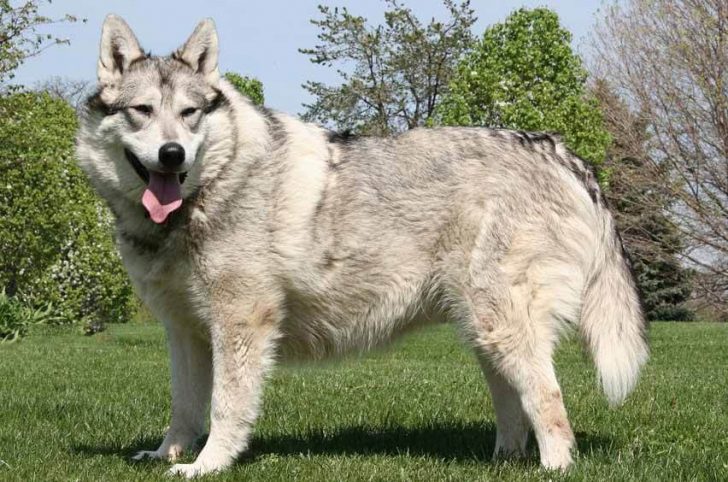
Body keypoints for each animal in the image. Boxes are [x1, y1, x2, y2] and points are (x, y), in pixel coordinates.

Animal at [76, 15, 649, 478]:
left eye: (190, 113)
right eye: (141, 111)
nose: (172, 154)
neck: (210, 191)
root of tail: (556, 150)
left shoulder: (240, 324)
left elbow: (224, 408)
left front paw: (207, 465)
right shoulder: (185, 333)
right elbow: (184, 407)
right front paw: (168, 454)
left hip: (503, 327)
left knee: (549, 403)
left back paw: (552, 468)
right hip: (486, 333)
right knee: (515, 407)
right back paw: (503, 462)